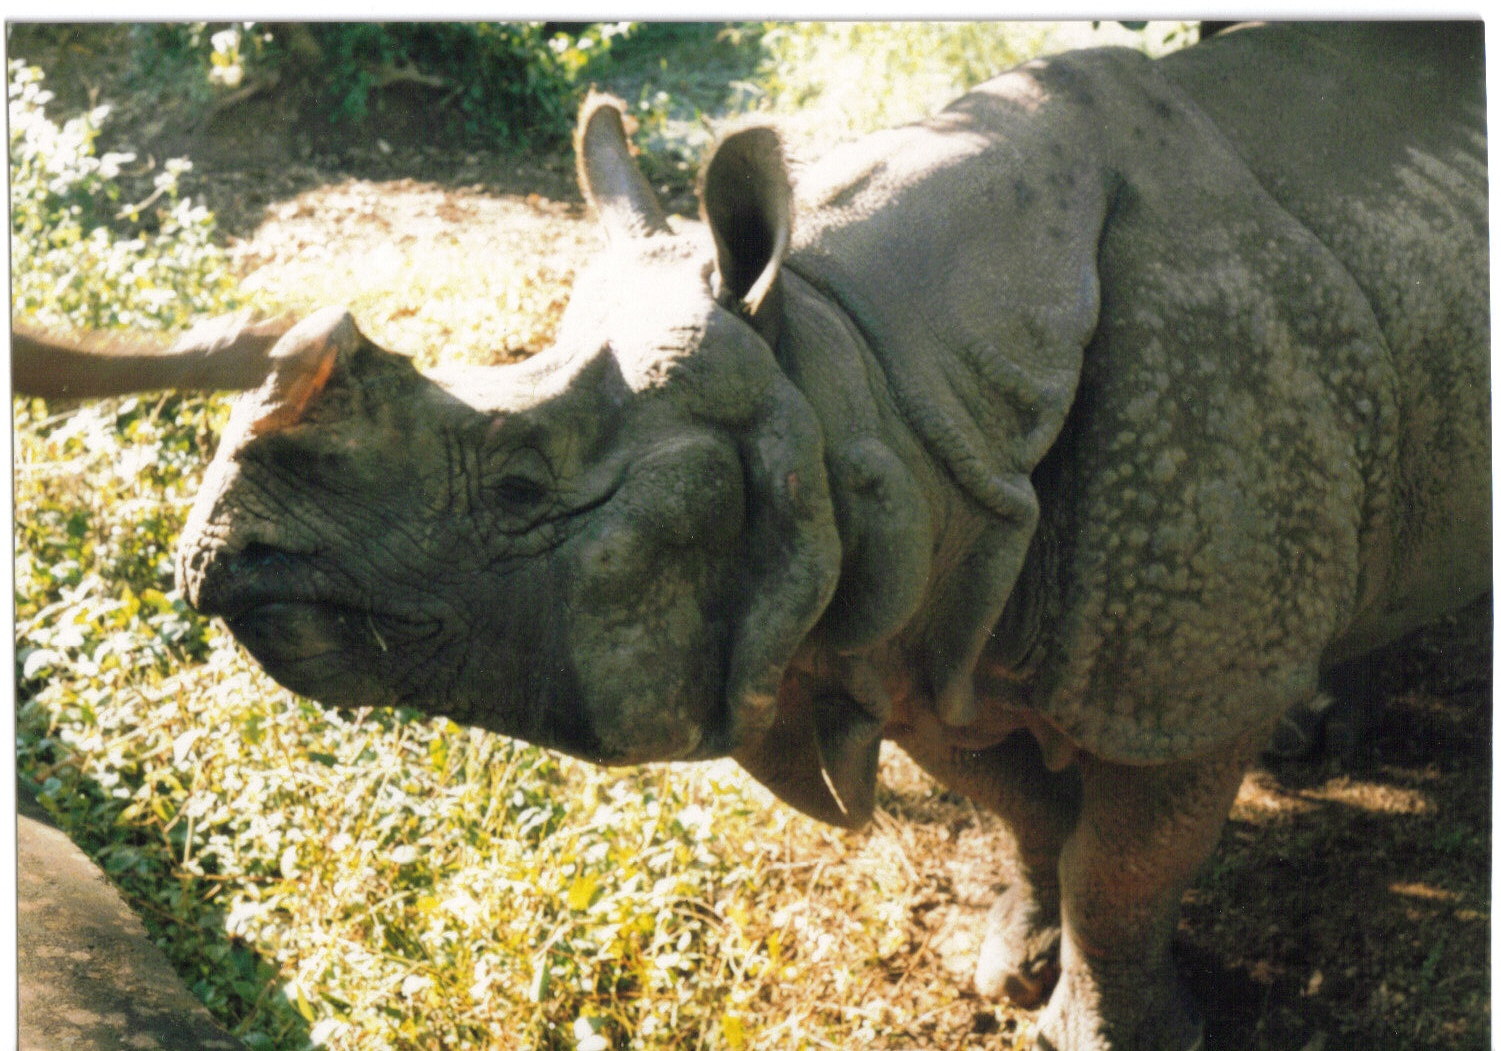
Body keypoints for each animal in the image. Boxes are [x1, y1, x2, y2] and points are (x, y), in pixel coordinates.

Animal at [172, 22, 1488, 1051]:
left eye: (519, 485)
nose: (222, 557)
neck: (865, 378)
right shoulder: (913, 624)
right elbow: (1020, 811)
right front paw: (1005, 971)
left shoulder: (1176, 678)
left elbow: (1120, 868)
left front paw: (1103, 1030)